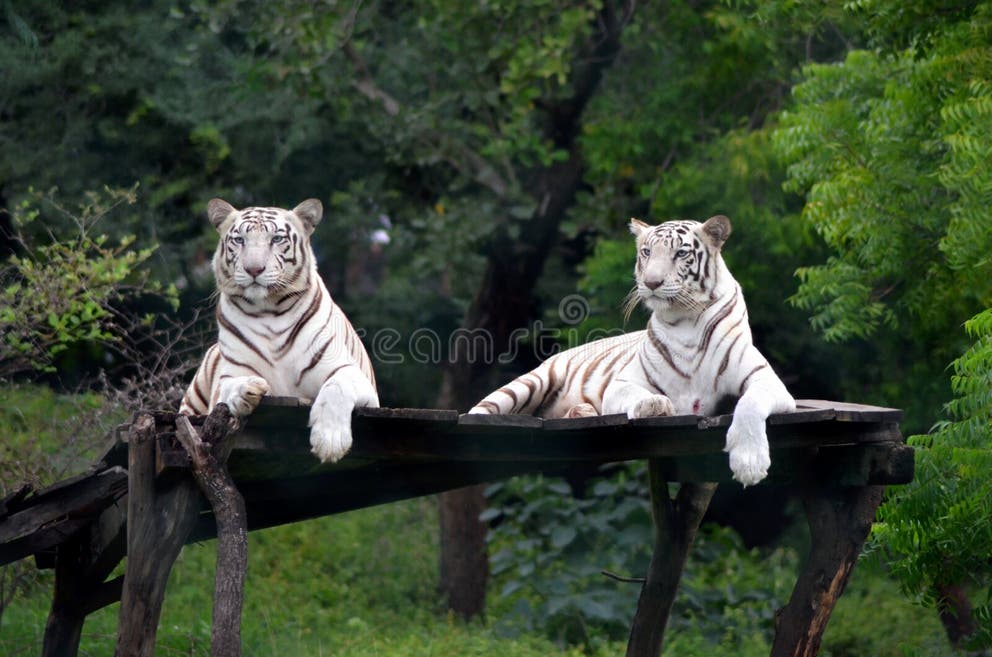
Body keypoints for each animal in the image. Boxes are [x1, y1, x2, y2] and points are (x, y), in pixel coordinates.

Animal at [179, 198, 379, 463]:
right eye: (240, 240)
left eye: (276, 238)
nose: (254, 269)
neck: (269, 310)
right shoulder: (228, 378)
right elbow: (231, 386)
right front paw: (247, 390)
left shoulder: (351, 375)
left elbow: (336, 387)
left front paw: (330, 441)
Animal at [469, 215, 796, 486]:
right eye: (647, 252)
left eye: (680, 253)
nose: (651, 282)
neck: (686, 320)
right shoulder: (623, 382)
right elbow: (639, 395)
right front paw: (655, 404)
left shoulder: (767, 380)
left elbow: (750, 404)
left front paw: (749, 464)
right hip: (529, 383)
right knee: (479, 411)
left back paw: (581, 410)